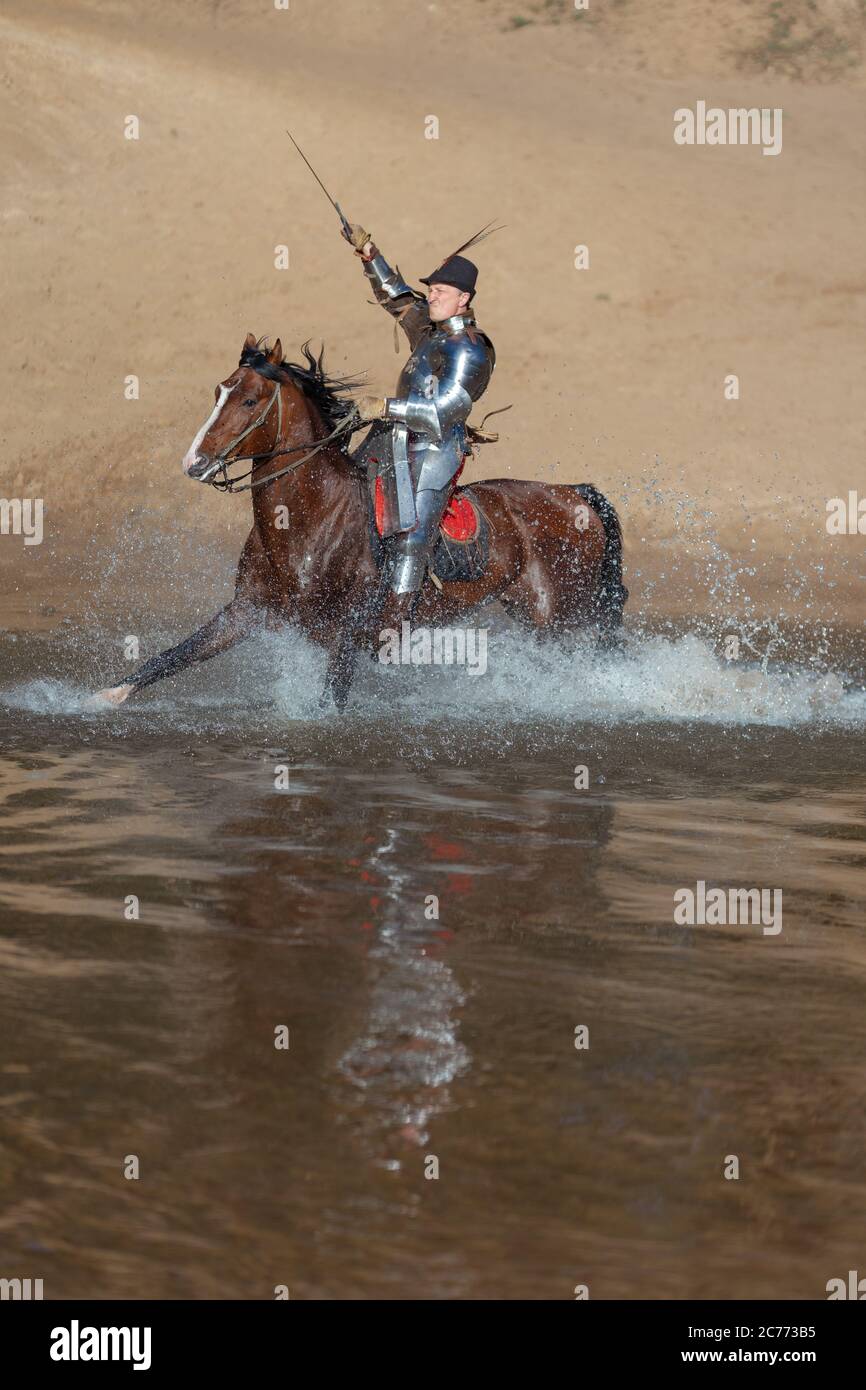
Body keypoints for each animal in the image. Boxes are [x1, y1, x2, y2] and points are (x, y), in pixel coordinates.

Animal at [93, 334, 627, 711]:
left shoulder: (346, 635)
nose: (194, 462)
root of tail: (573, 493)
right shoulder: (246, 611)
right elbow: (173, 655)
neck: (311, 520)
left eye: (249, 401)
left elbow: (330, 700)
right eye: (219, 391)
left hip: (563, 616)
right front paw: (102, 698)